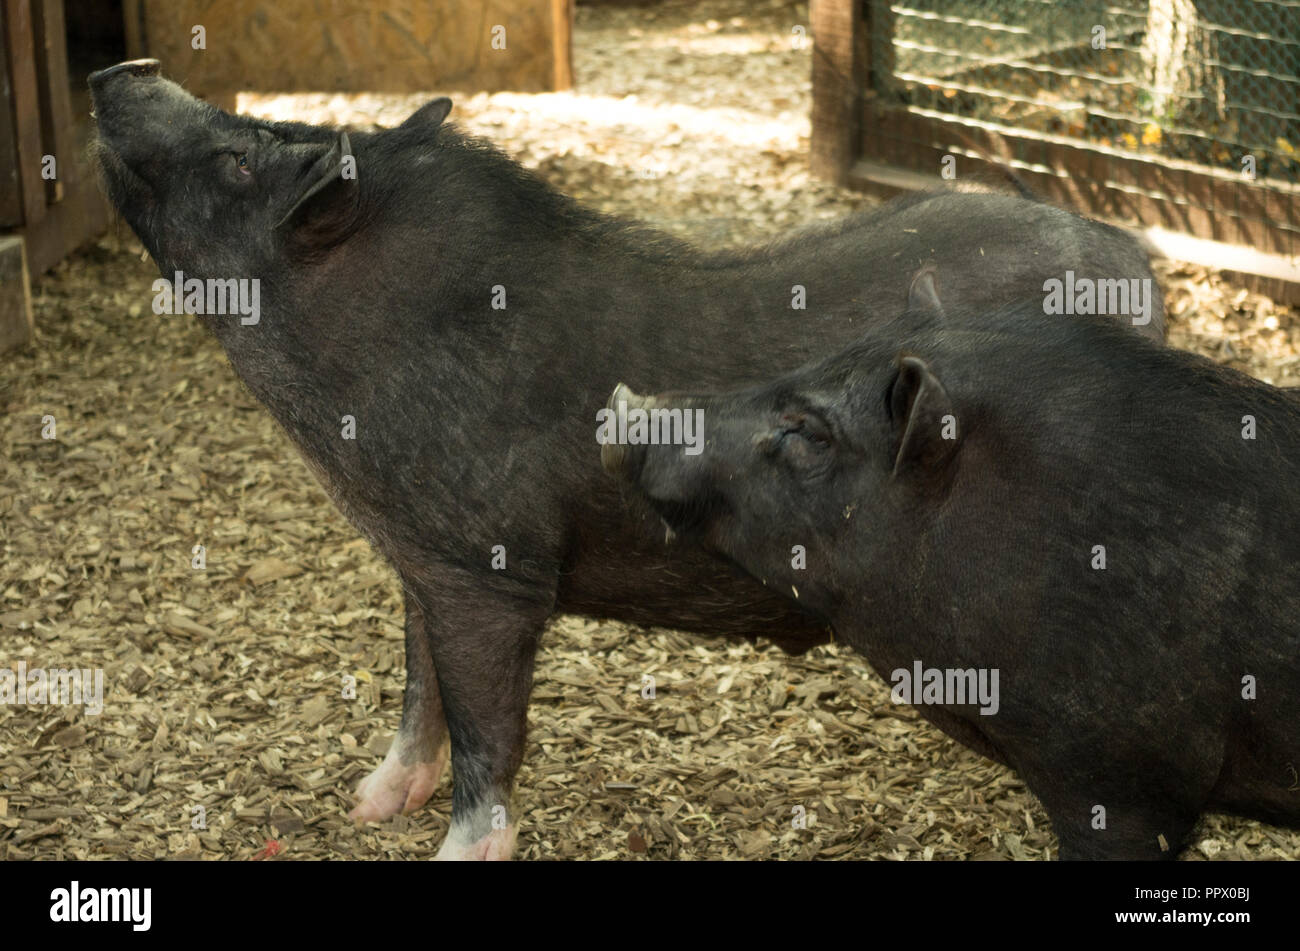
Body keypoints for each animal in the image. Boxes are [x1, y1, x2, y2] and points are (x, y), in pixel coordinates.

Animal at [89, 59, 1165, 859]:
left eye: (237, 158)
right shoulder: (420, 559)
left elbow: (486, 732)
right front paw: (369, 805)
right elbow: (418, 687)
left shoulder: (492, 568)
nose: (124, 66)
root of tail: (1135, 269)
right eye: (258, 126)